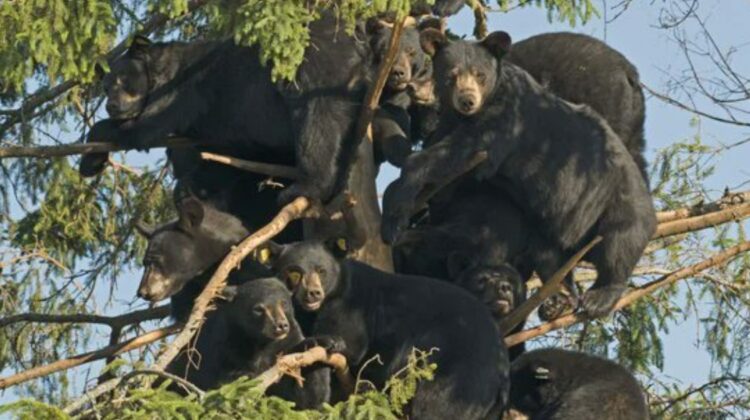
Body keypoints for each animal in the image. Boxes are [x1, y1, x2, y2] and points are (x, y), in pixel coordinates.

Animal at [166, 277, 331, 409]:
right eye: (258, 309)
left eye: (283, 303)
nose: (280, 325)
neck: (261, 343)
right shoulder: (225, 346)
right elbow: (220, 380)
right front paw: (245, 376)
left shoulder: (288, 340)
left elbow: (305, 399)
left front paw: (318, 343)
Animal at [259, 239, 510, 420]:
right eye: (294, 272)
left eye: (321, 270)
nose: (313, 294)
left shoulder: (351, 304)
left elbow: (352, 342)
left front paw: (327, 341)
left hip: (459, 374)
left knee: (440, 407)